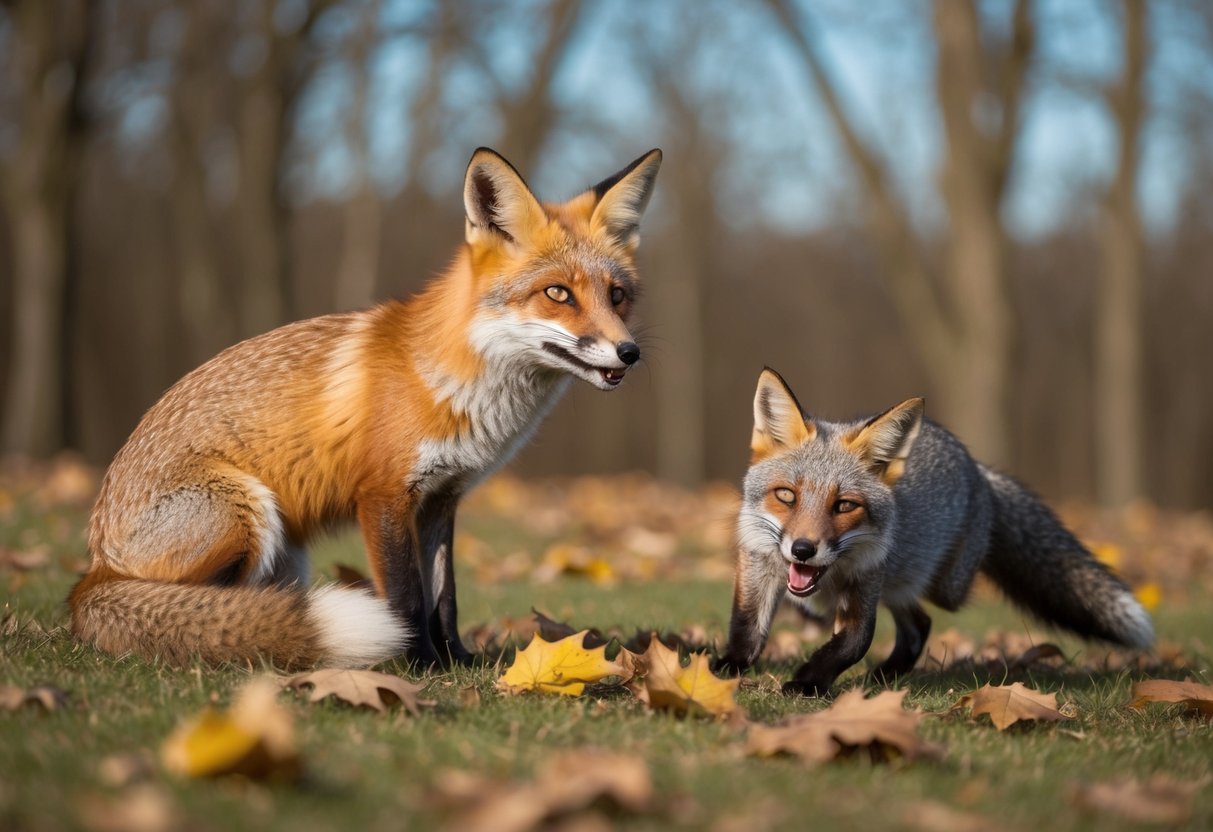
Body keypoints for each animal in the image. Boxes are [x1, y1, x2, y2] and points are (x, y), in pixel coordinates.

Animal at [69, 146, 662, 669]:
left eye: (617, 296)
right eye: (558, 293)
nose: (628, 353)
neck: (456, 381)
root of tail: (92, 574)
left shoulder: (442, 498)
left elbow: (444, 598)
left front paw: (457, 661)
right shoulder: (383, 495)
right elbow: (407, 597)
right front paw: (419, 666)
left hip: (286, 549)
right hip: (247, 511)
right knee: (213, 608)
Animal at [716, 368, 1154, 696]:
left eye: (844, 506)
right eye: (786, 496)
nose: (804, 549)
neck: (830, 576)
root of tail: (979, 470)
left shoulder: (867, 580)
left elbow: (853, 643)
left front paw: (809, 683)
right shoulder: (757, 560)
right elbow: (746, 627)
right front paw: (725, 667)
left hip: (940, 587)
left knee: (923, 621)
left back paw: (883, 676)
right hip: (898, 585)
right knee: (917, 624)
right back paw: (885, 675)